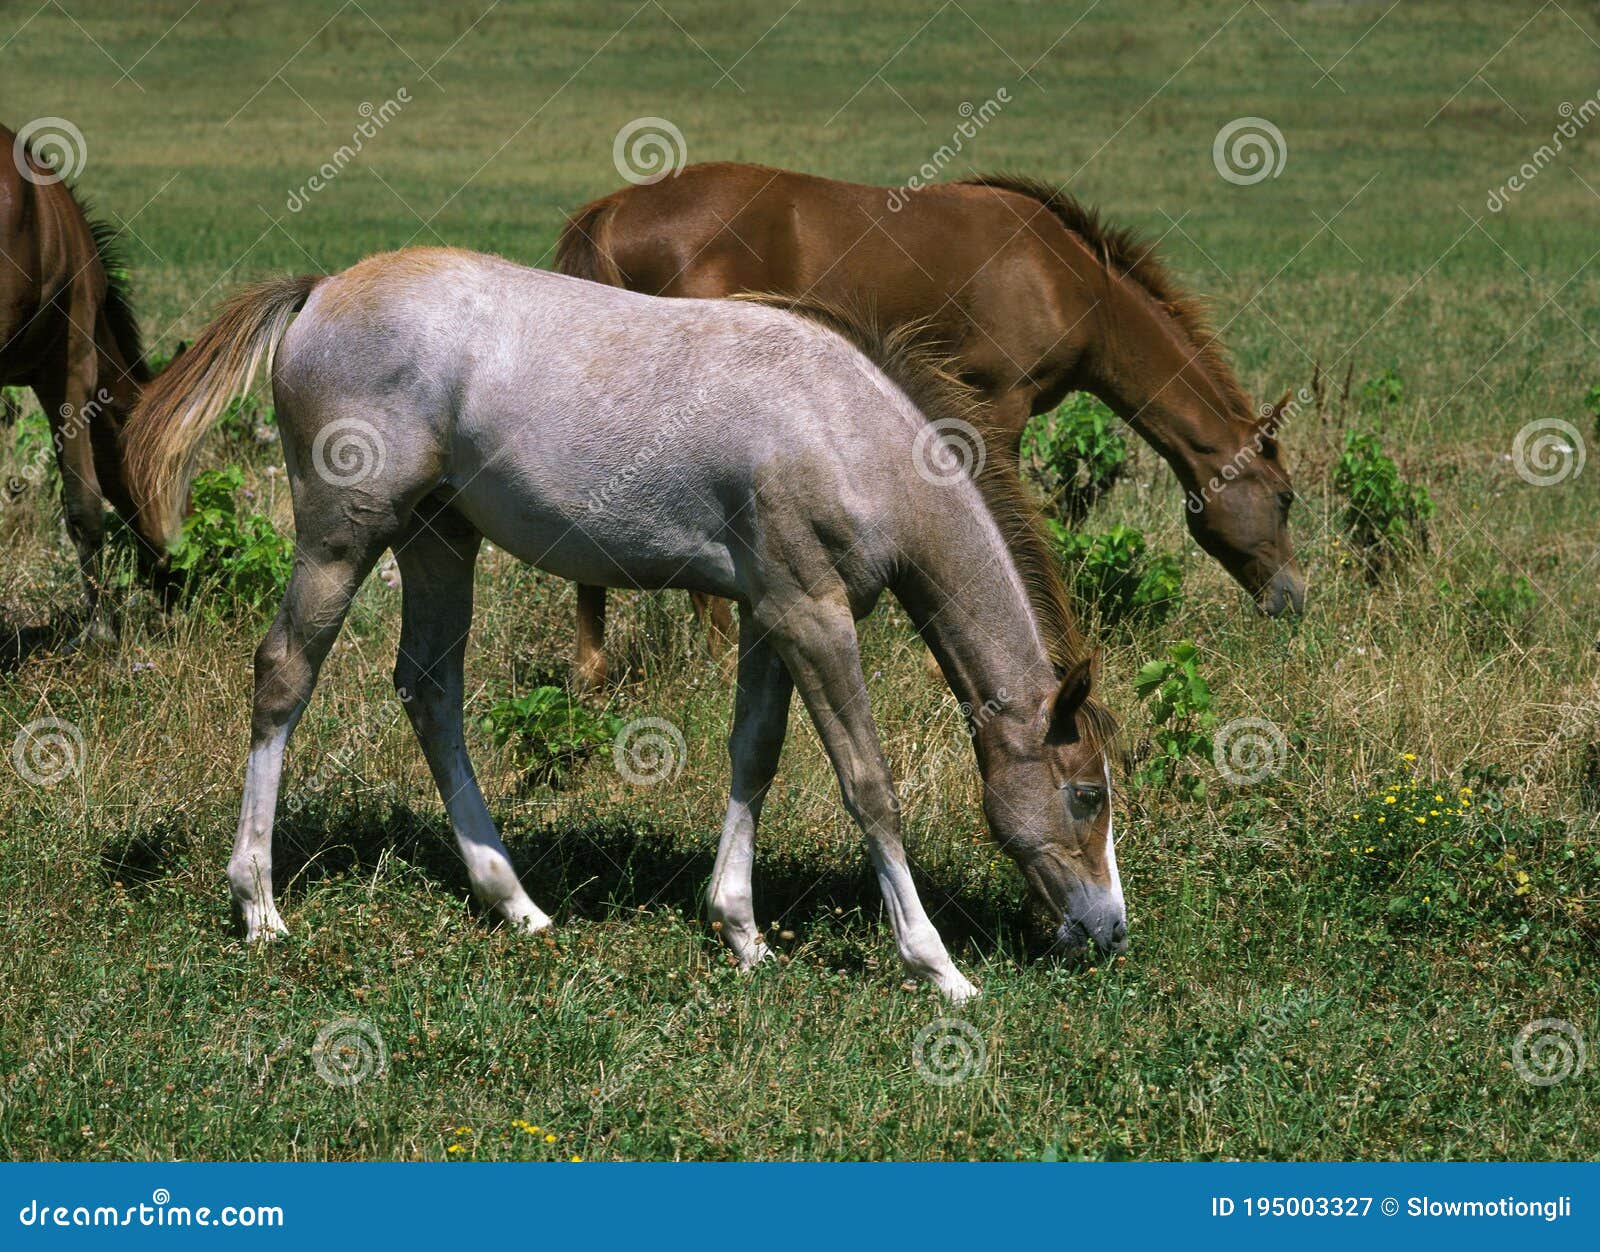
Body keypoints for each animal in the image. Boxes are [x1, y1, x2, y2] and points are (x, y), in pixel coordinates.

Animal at [120, 247, 1127, 1000]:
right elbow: (867, 783)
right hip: (342, 537)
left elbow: (754, 755)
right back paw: (258, 905)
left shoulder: (769, 614)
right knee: (285, 673)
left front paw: (741, 931)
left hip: (441, 541)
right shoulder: (813, 614)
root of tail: (322, 290)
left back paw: (514, 900)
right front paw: (937, 965)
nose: (1108, 929)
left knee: (429, 690)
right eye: (1087, 795)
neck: (848, 430)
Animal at [553, 162, 1305, 689]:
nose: (1293, 597)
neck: (1070, 281)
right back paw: (711, 661)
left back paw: (593, 671)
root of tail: (611, 211)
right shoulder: (999, 406)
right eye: (1286, 497)